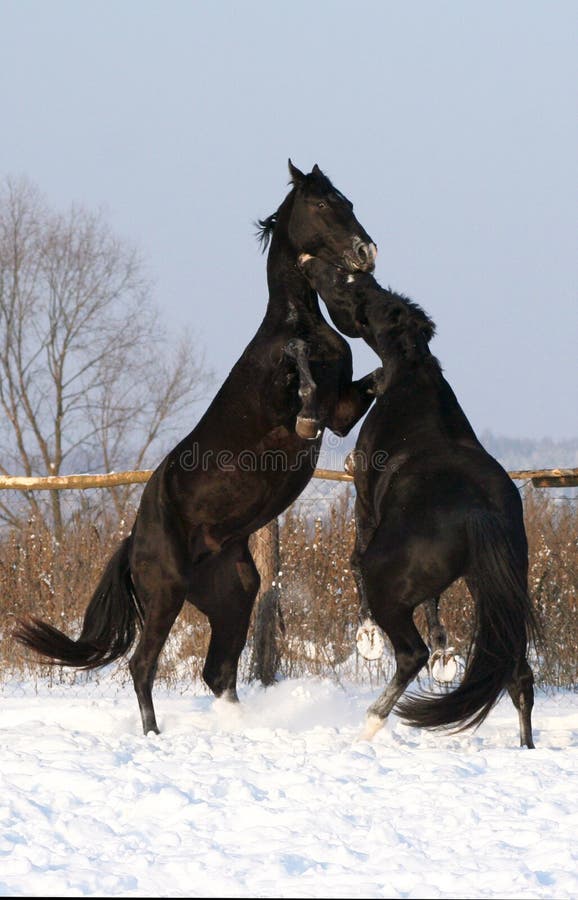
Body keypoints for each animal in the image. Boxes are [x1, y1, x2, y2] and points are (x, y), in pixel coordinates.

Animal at [14, 161, 381, 736]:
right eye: (323, 204)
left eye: (348, 201)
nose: (367, 252)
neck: (297, 320)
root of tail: (132, 543)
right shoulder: (289, 404)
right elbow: (300, 378)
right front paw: (301, 396)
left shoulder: (341, 414)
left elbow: (369, 384)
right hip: (165, 595)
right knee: (143, 665)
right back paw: (153, 736)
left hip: (235, 594)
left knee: (218, 672)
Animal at [298, 254, 540, 748]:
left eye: (349, 284)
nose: (311, 263)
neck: (411, 379)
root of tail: (479, 512)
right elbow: (434, 604)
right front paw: (446, 649)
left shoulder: (365, 500)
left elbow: (353, 559)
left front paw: (367, 636)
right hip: (496, 595)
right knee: (518, 676)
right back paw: (526, 746)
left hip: (392, 591)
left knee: (410, 653)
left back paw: (372, 721)